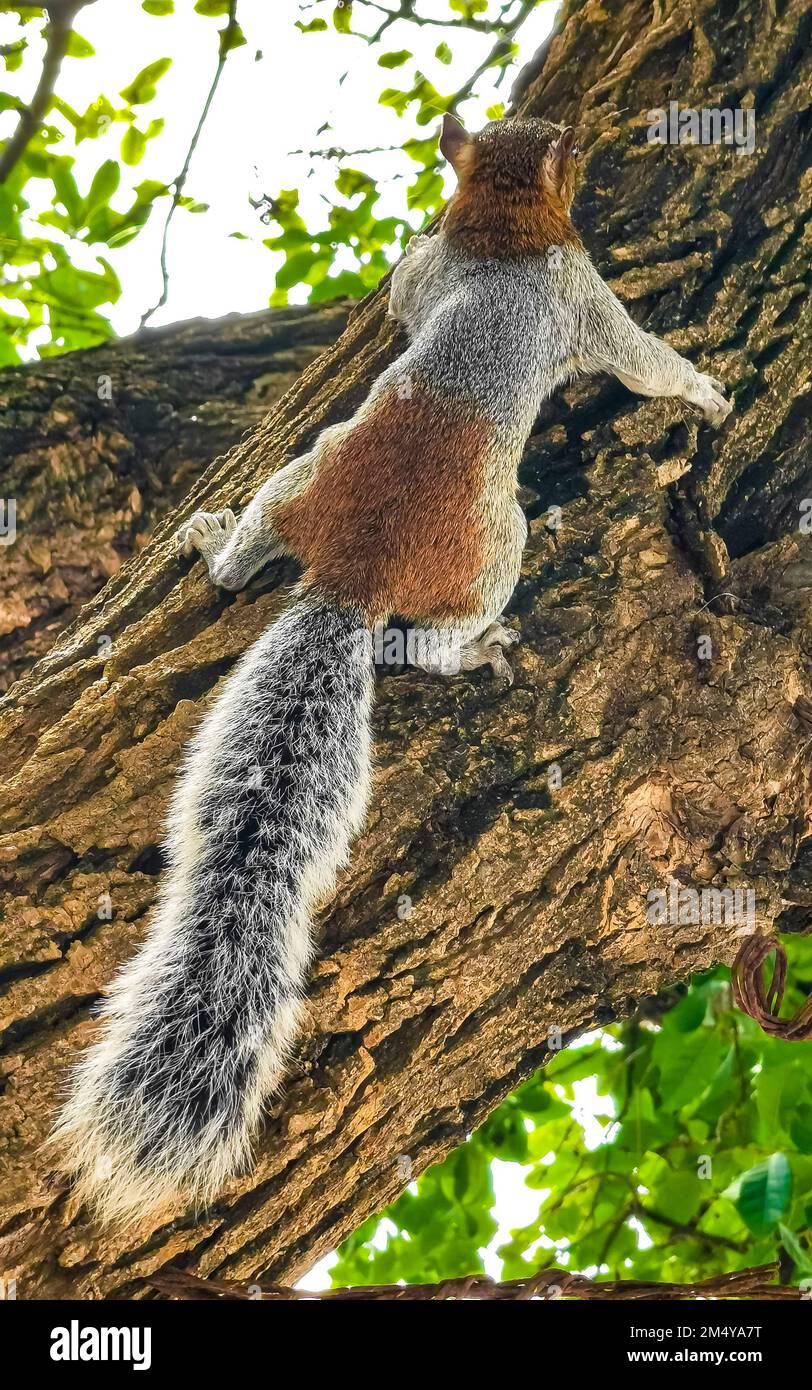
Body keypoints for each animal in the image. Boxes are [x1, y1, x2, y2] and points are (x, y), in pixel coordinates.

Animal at [53, 114, 731, 1225]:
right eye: (556, 145)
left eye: (519, 133)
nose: (574, 134)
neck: (500, 227)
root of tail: (352, 575)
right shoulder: (579, 291)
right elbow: (641, 361)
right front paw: (706, 389)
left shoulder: (441, 265)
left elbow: (409, 291)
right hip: (494, 545)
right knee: (422, 639)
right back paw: (470, 645)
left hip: (299, 473)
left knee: (252, 554)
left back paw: (217, 546)